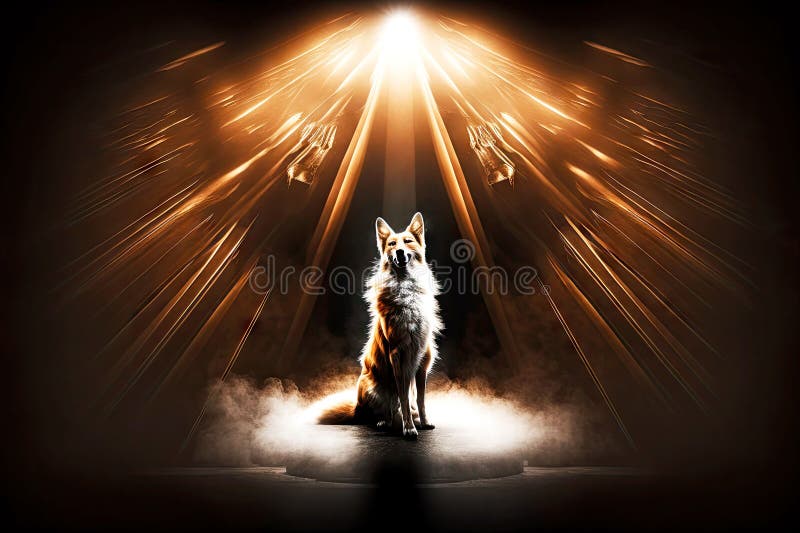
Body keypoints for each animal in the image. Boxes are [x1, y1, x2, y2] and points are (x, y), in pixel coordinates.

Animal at [318, 212, 442, 439]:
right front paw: (409, 428)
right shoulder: (397, 356)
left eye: (408, 241)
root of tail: (356, 408)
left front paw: (423, 421)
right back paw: (385, 422)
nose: (399, 251)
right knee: (382, 411)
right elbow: (403, 397)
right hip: (374, 387)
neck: (406, 288)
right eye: (392, 244)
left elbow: (420, 399)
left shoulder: (423, 360)